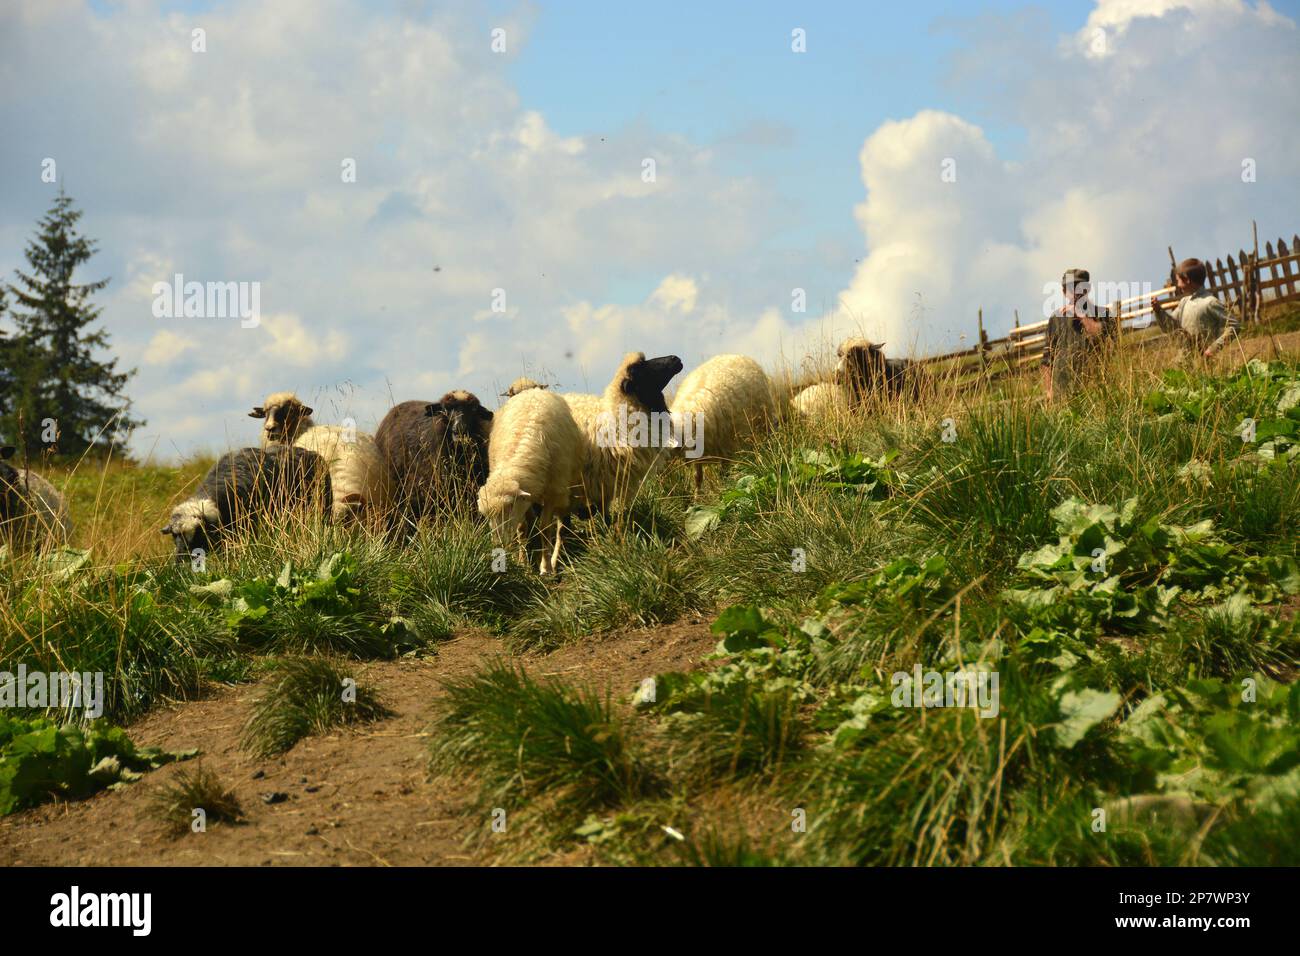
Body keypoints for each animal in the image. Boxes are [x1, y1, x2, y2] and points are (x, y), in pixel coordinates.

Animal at [477, 387, 584, 575]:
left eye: (509, 507)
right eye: (486, 515)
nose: (497, 543)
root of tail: (532, 390)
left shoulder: (552, 493)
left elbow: (545, 529)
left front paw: (545, 567)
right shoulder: (524, 499)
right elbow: (522, 530)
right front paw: (522, 563)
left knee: (561, 528)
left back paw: (555, 560)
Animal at [669, 354, 777, 494]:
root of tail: (735, 355)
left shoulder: (726, 447)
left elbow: (724, 474)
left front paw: (725, 489)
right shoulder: (698, 455)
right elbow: (697, 477)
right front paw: (697, 496)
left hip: (764, 419)